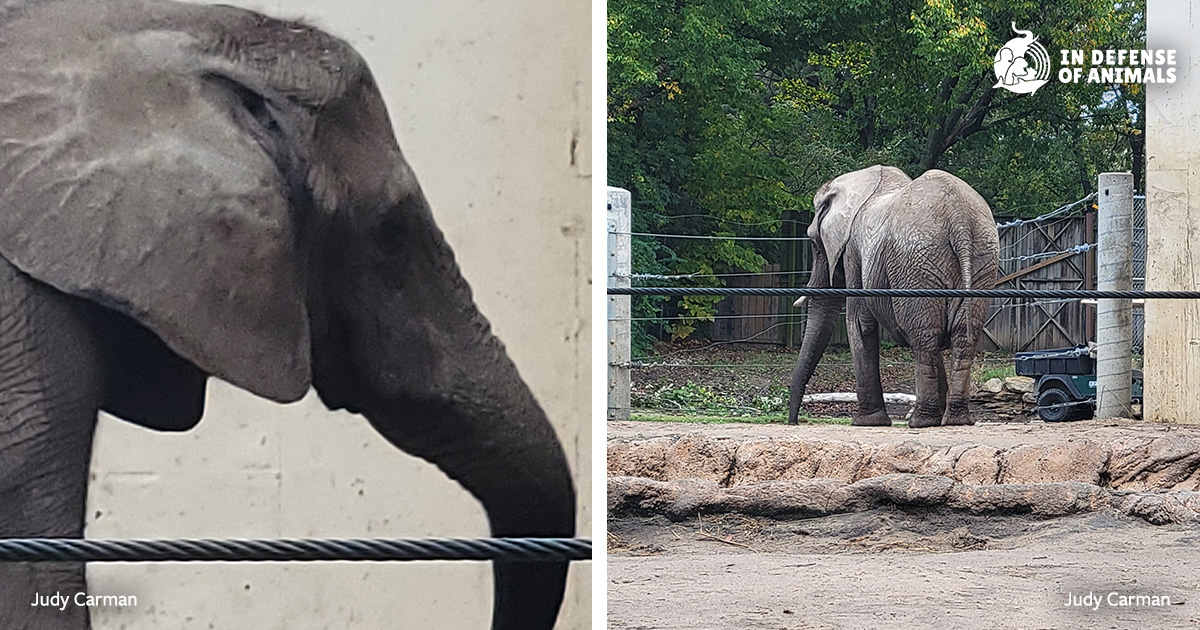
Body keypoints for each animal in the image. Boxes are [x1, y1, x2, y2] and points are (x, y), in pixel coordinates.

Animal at [788, 165, 1000, 428]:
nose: (793, 421)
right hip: (982, 256)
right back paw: (955, 420)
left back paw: (921, 421)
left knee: (924, 337)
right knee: (959, 336)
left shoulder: (853, 250)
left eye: (815, 245)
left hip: (915, 262)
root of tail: (958, 216)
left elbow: (859, 322)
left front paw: (866, 422)